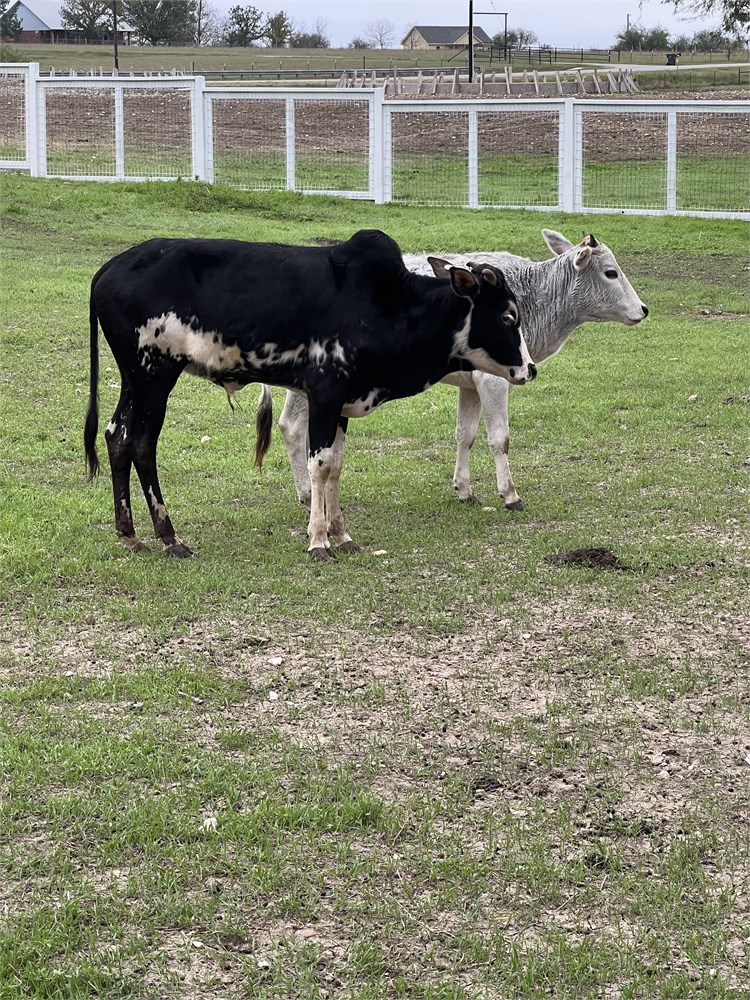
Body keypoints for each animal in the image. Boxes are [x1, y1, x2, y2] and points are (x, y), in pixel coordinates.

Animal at [84, 229, 536, 560]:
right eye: (508, 316)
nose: (530, 369)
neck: (385, 303)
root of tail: (108, 269)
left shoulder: (344, 405)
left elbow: (335, 466)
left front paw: (343, 534)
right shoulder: (324, 395)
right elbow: (318, 466)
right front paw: (319, 540)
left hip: (136, 380)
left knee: (116, 437)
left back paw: (130, 533)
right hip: (153, 377)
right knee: (140, 443)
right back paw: (169, 536)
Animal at [276, 230, 648, 510]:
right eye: (610, 272)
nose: (643, 309)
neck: (533, 296)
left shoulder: (470, 386)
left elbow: (465, 435)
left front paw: (464, 489)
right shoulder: (493, 381)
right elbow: (500, 438)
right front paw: (510, 494)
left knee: (289, 426)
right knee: (294, 428)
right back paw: (308, 495)